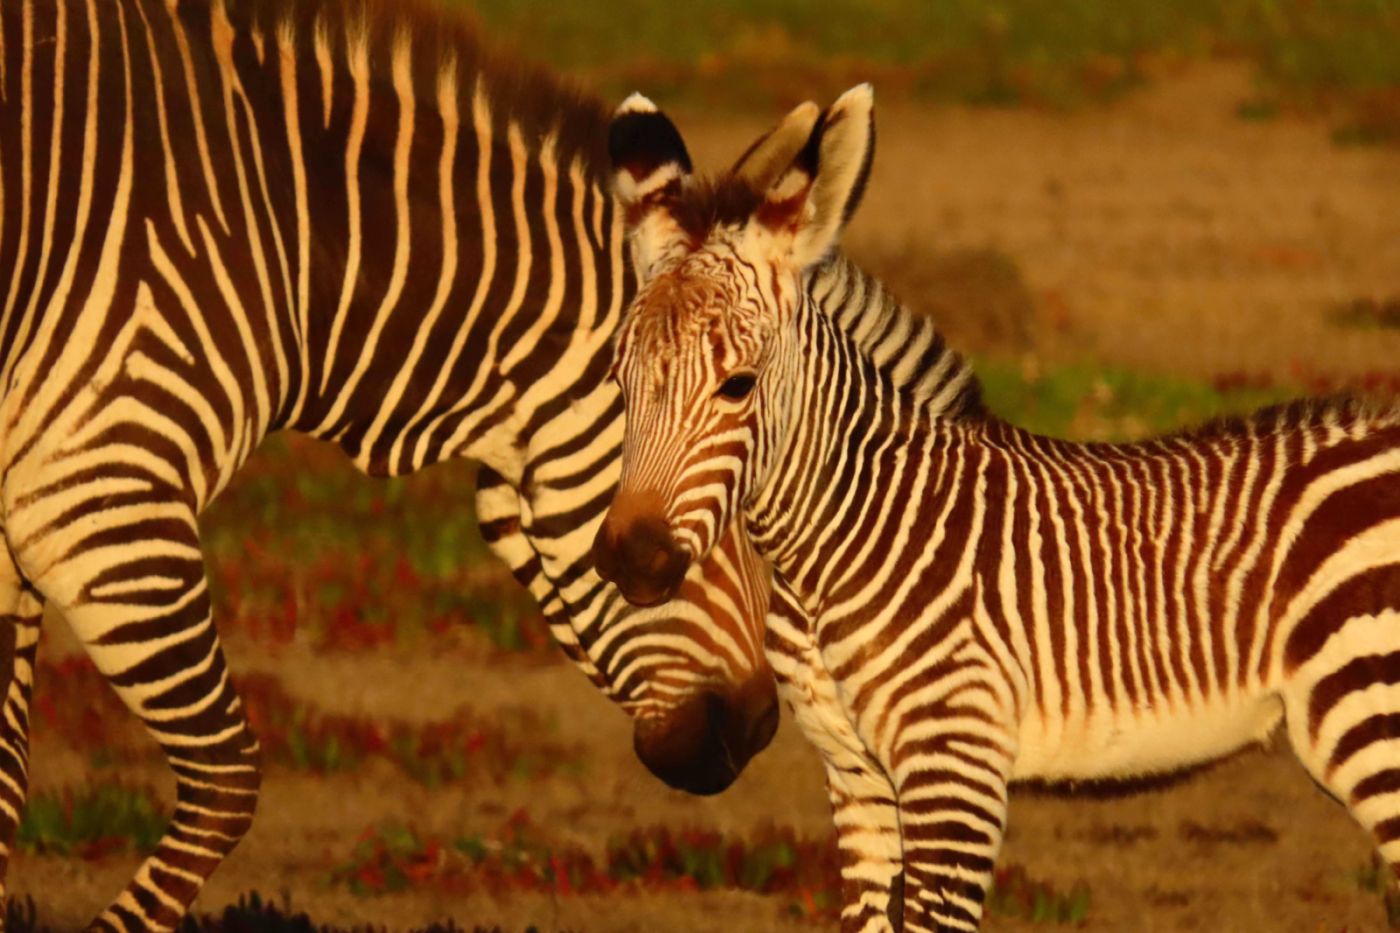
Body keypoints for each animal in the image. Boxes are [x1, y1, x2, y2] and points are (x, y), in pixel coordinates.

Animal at [594, 84, 1400, 932]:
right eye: (619, 377)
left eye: (738, 385)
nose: (631, 557)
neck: (849, 533)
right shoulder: (856, 778)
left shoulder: (955, 765)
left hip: (1369, 717)